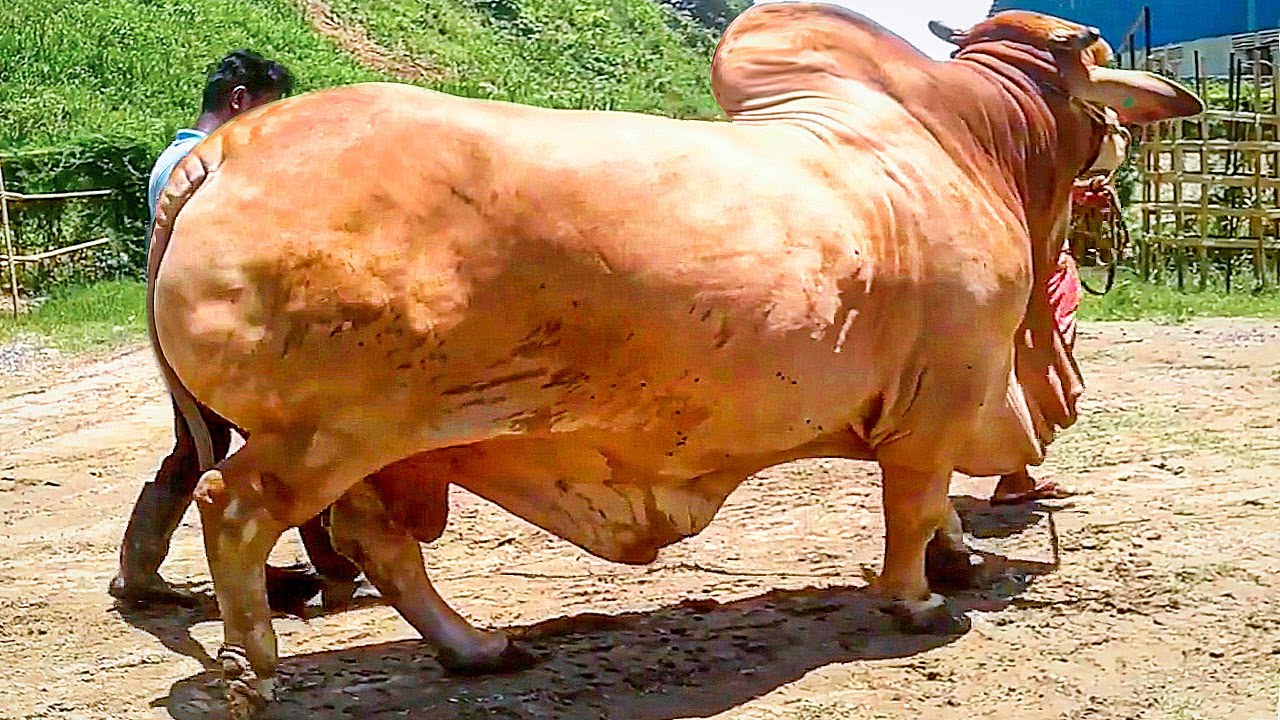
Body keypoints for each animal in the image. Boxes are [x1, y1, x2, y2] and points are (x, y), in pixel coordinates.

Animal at [146, 5, 1202, 717]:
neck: (977, 141)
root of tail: (232, 146)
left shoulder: (935, 407)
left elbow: (935, 503)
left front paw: (962, 557)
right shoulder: (944, 396)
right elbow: (912, 503)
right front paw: (916, 599)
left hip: (386, 448)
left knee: (380, 544)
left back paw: (476, 649)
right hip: (325, 433)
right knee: (232, 508)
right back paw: (251, 666)